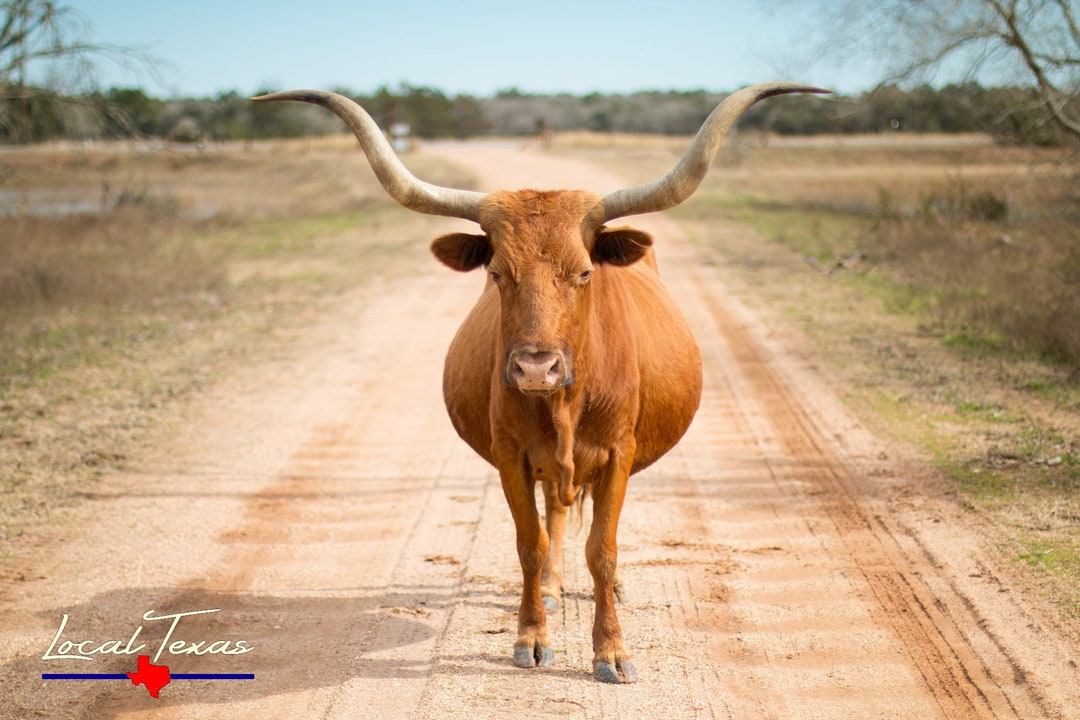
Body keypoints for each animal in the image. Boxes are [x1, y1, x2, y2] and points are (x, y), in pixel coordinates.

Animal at [253, 83, 829, 683]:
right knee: (554, 510)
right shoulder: (511, 454)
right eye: (497, 273)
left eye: (584, 272)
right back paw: (553, 586)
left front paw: (611, 649)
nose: (534, 369)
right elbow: (531, 542)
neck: (566, 399)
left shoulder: (619, 452)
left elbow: (602, 549)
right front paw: (532, 635)